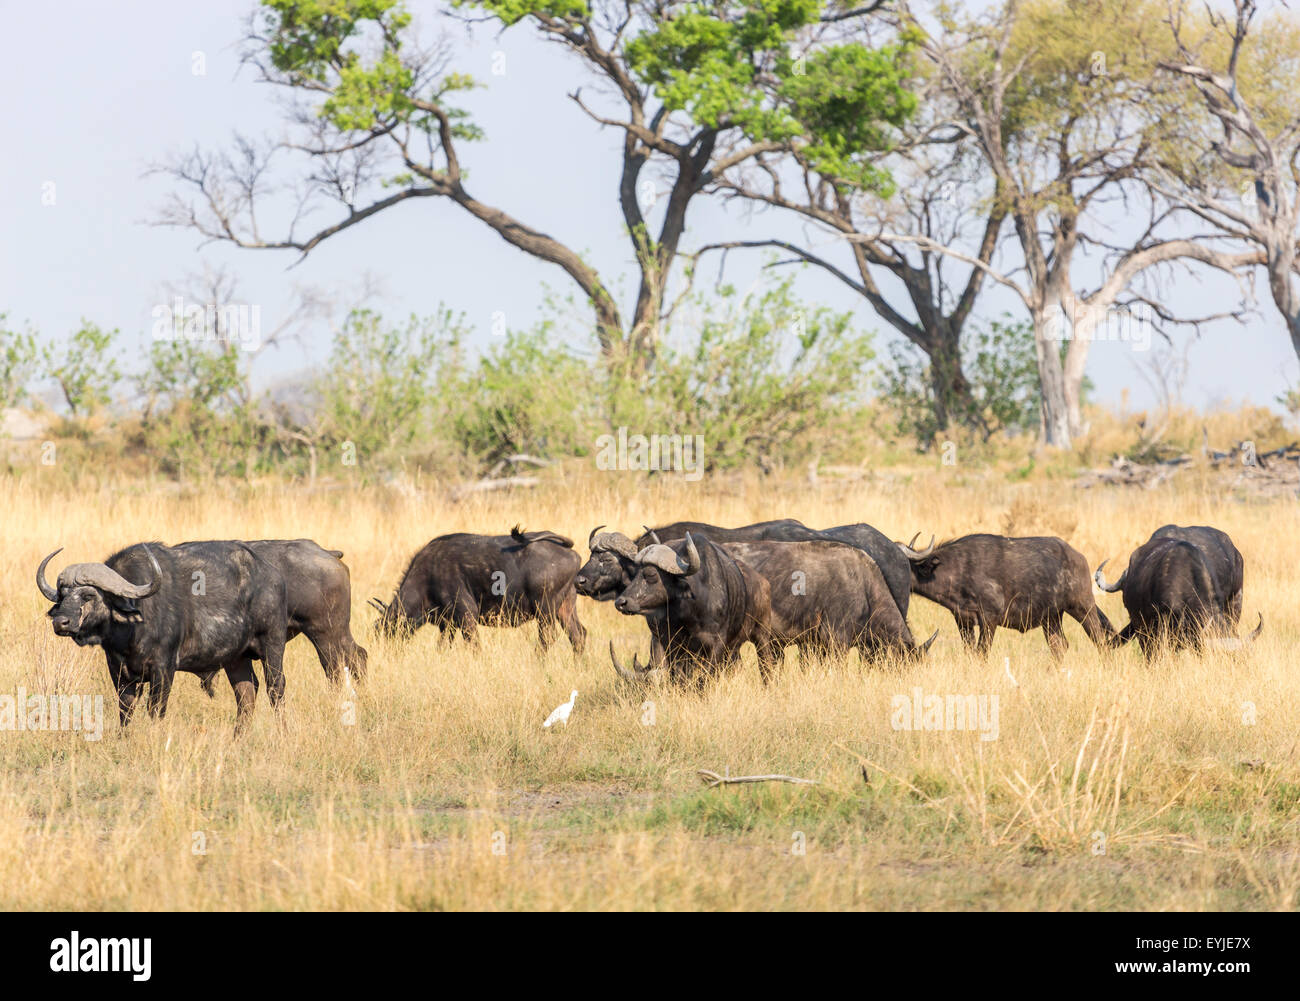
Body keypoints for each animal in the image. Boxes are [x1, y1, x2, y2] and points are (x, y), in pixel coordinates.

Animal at [38, 542, 288, 733]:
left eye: (88, 595)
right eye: (63, 595)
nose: (60, 622)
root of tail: (273, 577)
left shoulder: (164, 669)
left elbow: (155, 709)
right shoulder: (118, 671)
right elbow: (125, 710)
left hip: (272, 645)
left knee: (275, 688)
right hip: (236, 658)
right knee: (246, 692)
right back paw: (238, 736)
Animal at [373, 526, 586, 651]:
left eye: (388, 629)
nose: (389, 652)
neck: (427, 575)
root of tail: (569, 550)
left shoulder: (467, 614)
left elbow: (473, 644)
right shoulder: (447, 623)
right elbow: (442, 646)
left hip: (545, 610)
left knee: (547, 638)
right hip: (565, 607)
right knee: (578, 635)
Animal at [898, 534, 1114, 659]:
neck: (958, 569)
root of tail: (1078, 557)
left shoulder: (989, 619)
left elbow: (982, 653)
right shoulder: (962, 619)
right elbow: (969, 653)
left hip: (1083, 607)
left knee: (1101, 641)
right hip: (1051, 618)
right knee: (1059, 646)